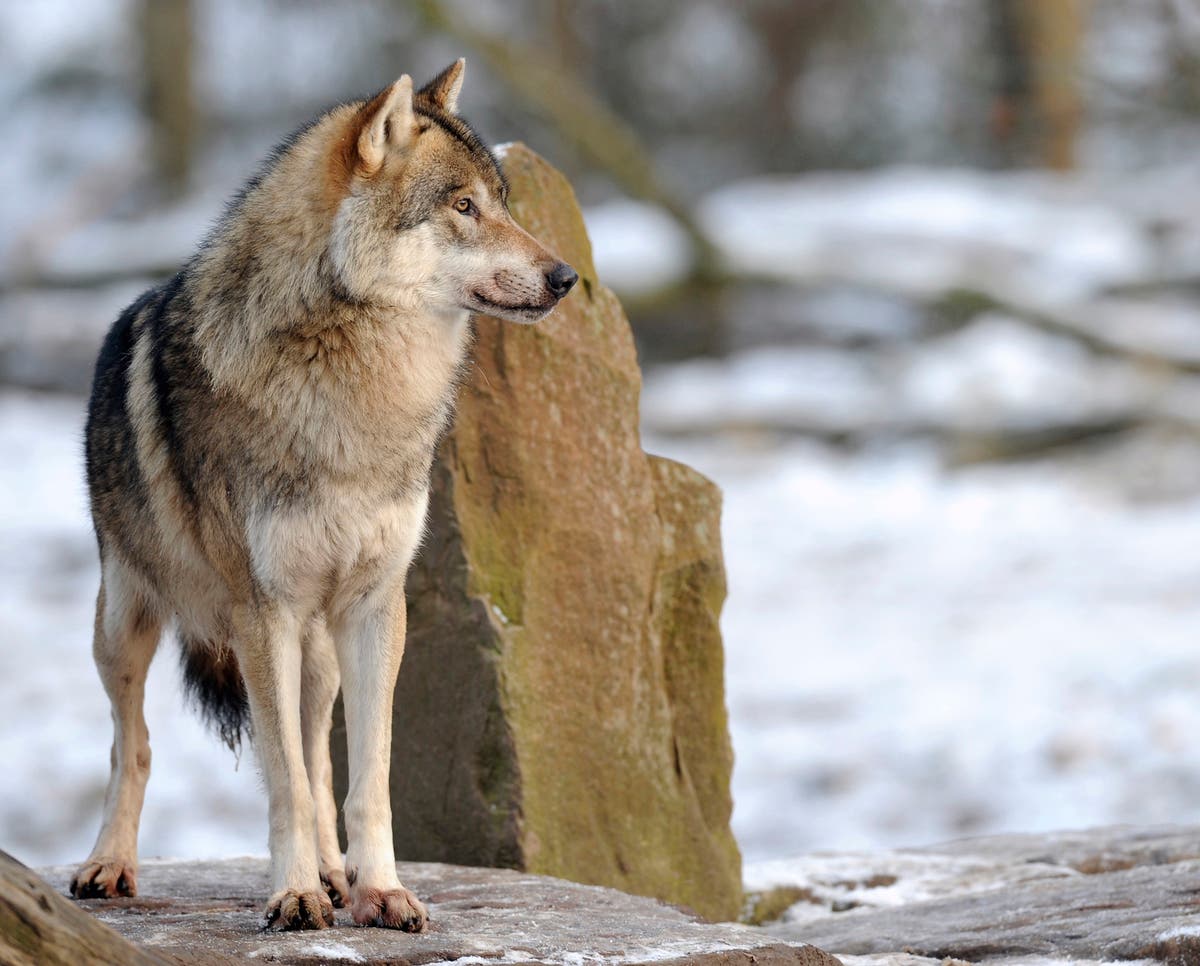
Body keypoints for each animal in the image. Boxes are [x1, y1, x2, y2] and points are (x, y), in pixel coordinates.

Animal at [69, 59, 577, 931]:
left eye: (503, 201)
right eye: (463, 206)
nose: (566, 277)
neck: (359, 390)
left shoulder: (374, 605)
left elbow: (363, 777)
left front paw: (380, 891)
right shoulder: (261, 612)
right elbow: (286, 788)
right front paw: (296, 895)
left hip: (319, 650)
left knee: (313, 750)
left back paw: (340, 876)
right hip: (126, 625)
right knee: (132, 744)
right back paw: (111, 865)